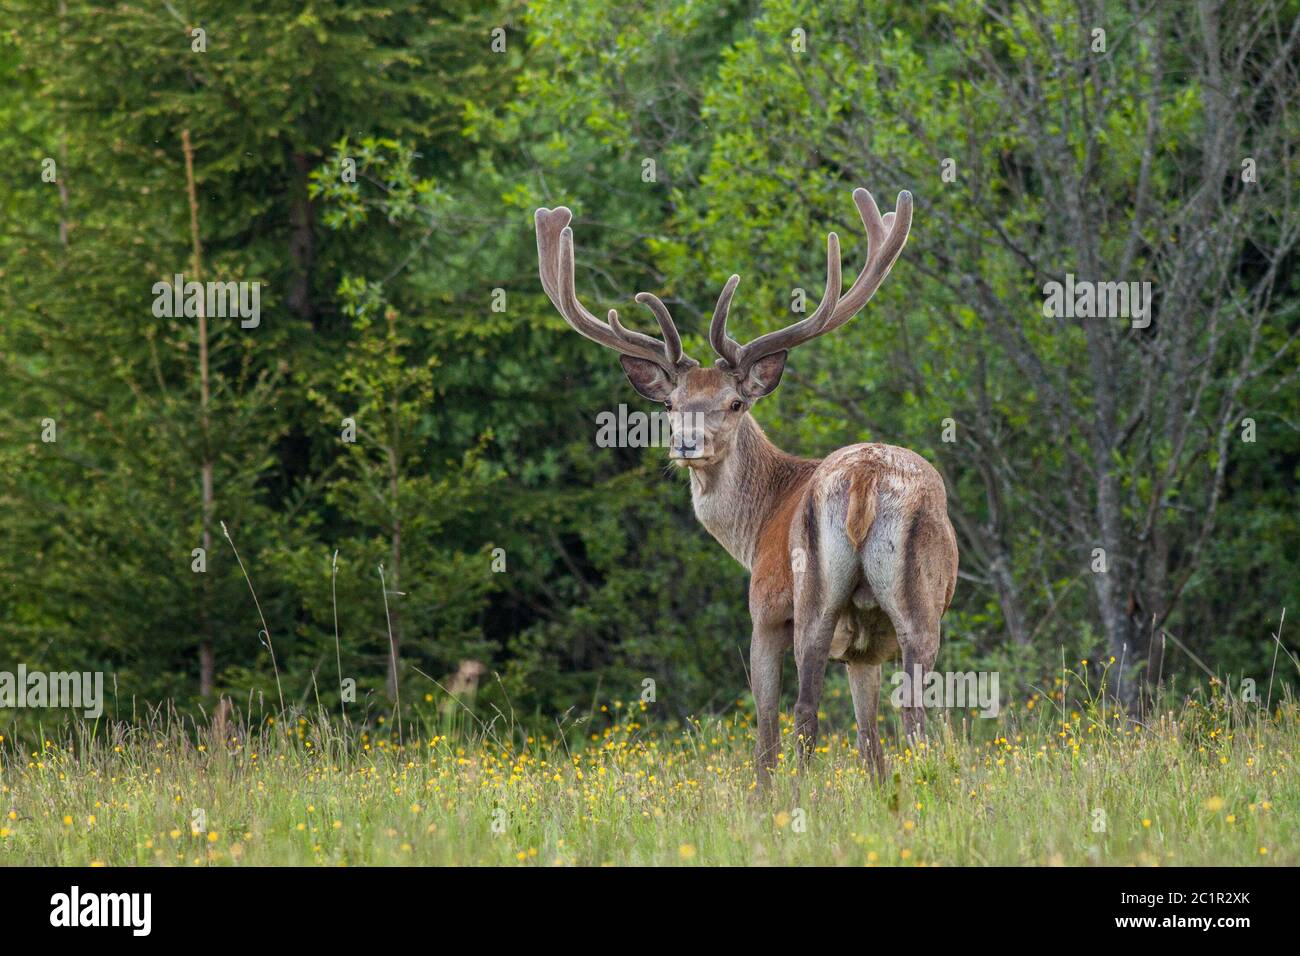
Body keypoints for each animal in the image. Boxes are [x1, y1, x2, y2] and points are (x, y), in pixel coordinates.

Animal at [534, 187, 958, 785]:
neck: (754, 527)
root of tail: (864, 479)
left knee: (803, 710)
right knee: (915, 711)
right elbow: (867, 739)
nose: (686, 444)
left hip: (811, 594)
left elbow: (765, 728)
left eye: (735, 403)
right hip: (920, 605)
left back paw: (801, 794)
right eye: (671, 404)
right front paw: (879, 793)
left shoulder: (765, 612)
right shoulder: (862, 651)